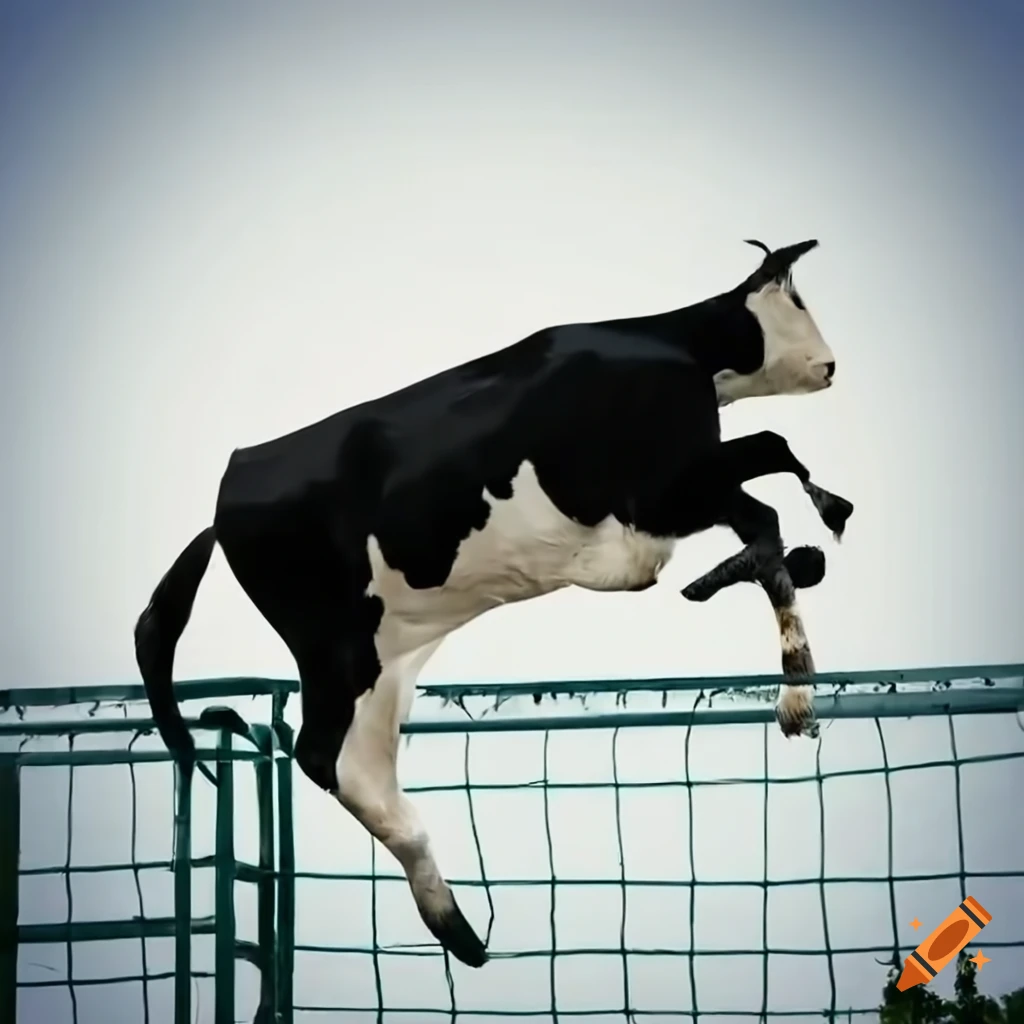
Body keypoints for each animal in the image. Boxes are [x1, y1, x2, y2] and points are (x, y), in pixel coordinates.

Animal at [135, 238, 853, 969]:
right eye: (797, 299)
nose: (830, 363)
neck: (675, 351)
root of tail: (230, 490)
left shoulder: (677, 491)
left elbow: (766, 484)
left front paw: (803, 552)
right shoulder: (658, 495)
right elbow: (768, 483)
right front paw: (797, 680)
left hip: (385, 659)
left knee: (359, 763)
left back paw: (452, 923)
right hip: (337, 649)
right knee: (323, 757)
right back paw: (452, 919)